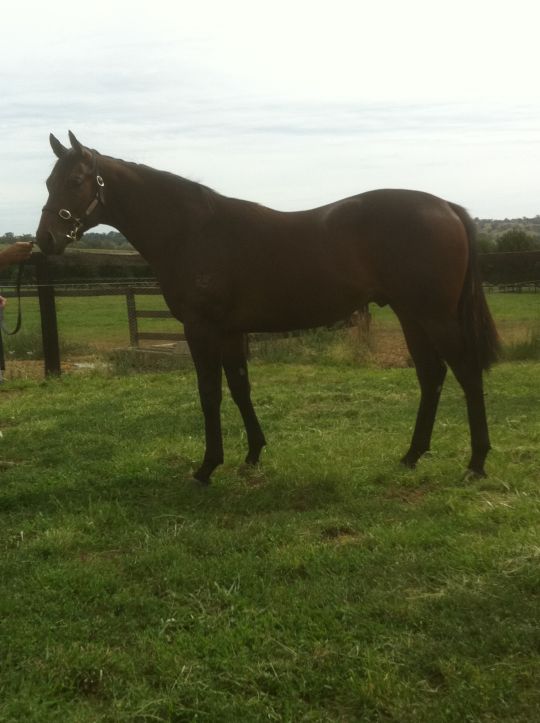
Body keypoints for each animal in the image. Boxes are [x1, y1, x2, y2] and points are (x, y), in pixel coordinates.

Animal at [36, 131, 500, 484]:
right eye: (47, 182)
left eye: (75, 179)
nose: (45, 239)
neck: (191, 231)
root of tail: (446, 207)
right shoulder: (230, 331)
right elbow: (240, 387)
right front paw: (253, 454)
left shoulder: (201, 329)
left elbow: (210, 392)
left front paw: (207, 467)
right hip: (412, 316)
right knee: (432, 375)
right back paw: (412, 455)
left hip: (435, 317)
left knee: (466, 373)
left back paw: (476, 463)